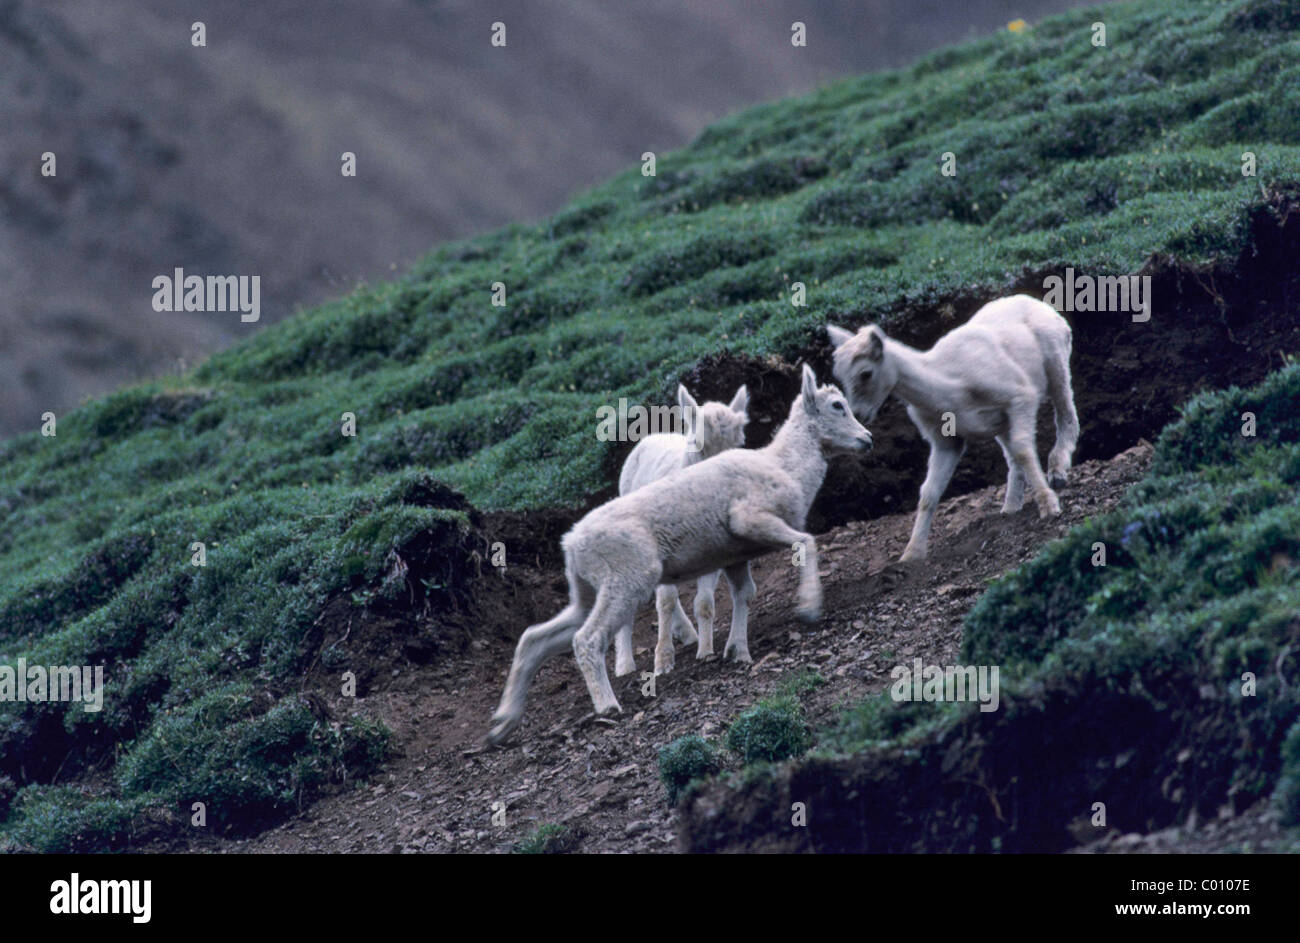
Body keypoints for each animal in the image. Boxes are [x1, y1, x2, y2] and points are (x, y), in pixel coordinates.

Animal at [613, 383, 750, 678]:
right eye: (697, 444)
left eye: (740, 444)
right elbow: (664, 601)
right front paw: (663, 661)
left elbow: (704, 602)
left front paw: (706, 650)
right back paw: (625, 664)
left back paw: (688, 634)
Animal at [828, 293, 1079, 563]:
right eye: (839, 375)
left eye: (865, 373)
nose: (859, 414)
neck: (949, 389)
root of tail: (1039, 303)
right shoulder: (946, 441)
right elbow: (928, 492)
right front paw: (911, 555)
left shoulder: (1021, 396)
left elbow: (1024, 450)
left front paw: (1049, 506)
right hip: (1000, 425)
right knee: (1011, 457)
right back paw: (1010, 507)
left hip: (1056, 363)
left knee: (1066, 415)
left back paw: (1057, 472)